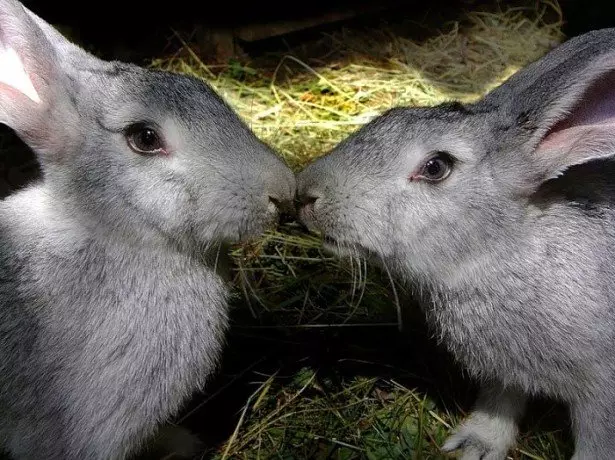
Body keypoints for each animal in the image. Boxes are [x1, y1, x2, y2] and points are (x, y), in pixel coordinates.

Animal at [298, 27, 615, 460]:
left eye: (436, 167)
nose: (306, 195)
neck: (499, 255)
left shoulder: (601, 397)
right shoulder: (503, 376)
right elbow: (499, 405)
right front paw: (472, 446)